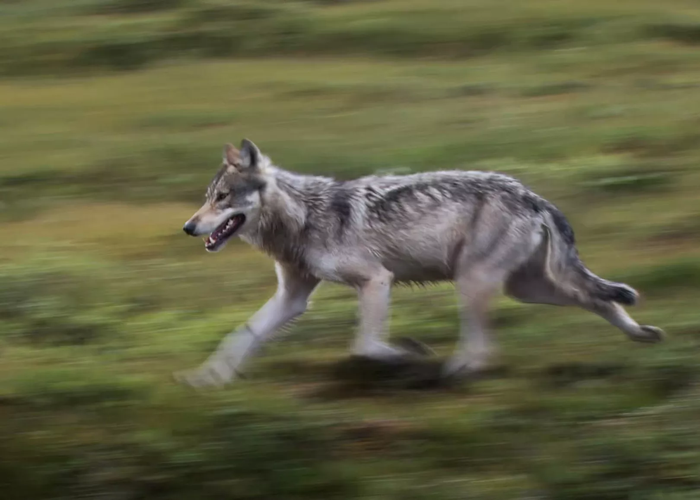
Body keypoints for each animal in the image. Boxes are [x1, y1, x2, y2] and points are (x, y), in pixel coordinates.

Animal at [176, 139, 664, 388]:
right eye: (208, 197)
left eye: (223, 198)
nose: (187, 227)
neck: (301, 217)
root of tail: (531, 193)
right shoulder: (292, 298)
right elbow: (241, 336)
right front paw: (209, 378)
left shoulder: (376, 280)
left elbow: (366, 345)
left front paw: (411, 352)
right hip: (523, 289)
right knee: (598, 299)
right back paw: (642, 335)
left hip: (475, 283)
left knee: (483, 349)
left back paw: (451, 371)